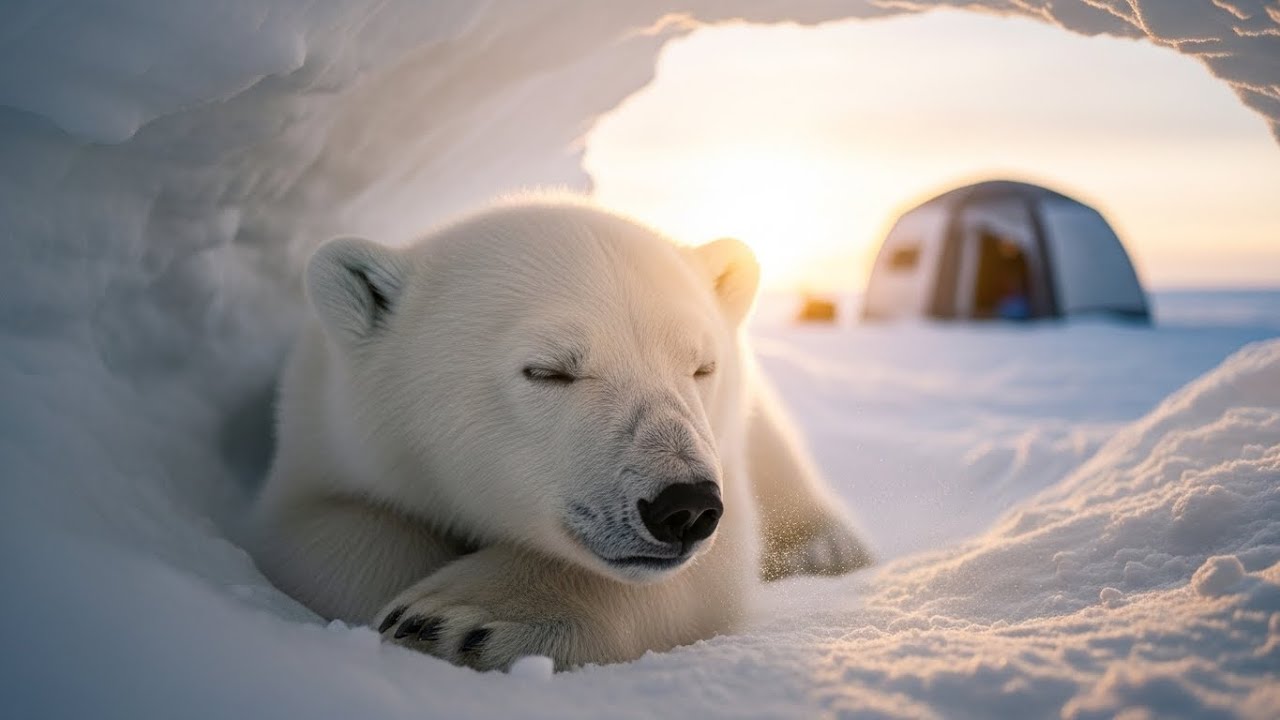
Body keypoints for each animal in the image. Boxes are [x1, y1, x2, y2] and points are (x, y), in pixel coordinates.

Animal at [251, 198, 872, 671]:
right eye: (549, 371)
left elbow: (707, 572)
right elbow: (321, 533)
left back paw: (826, 547)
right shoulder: (329, 436)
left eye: (700, 366)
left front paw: (456, 618)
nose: (685, 505)